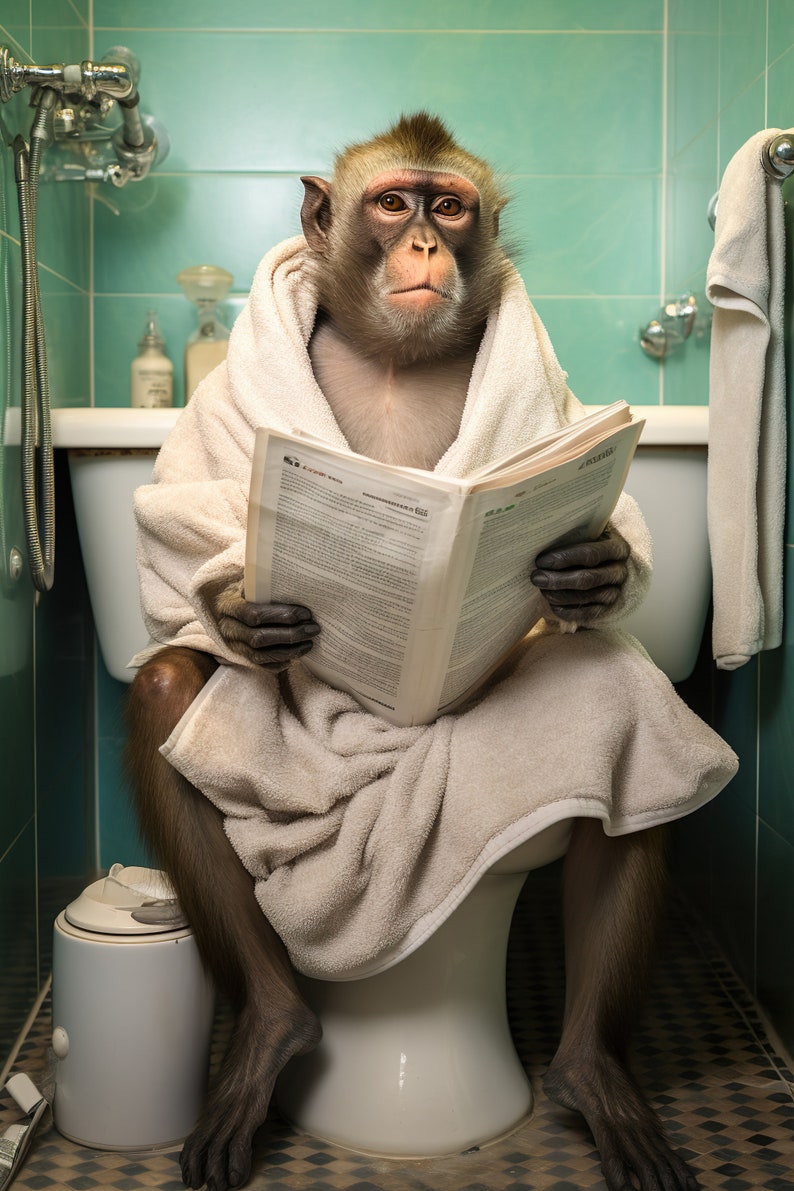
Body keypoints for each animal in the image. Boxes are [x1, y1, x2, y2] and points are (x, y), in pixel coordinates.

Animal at [126, 114, 709, 1191]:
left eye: (449, 206)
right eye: (393, 203)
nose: (427, 245)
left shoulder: (558, 412)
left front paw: (595, 568)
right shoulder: (222, 407)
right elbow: (174, 545)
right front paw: (240, 610)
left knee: (623, 698)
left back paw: (594, 1076)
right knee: (167, 681)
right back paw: (270, 1032)